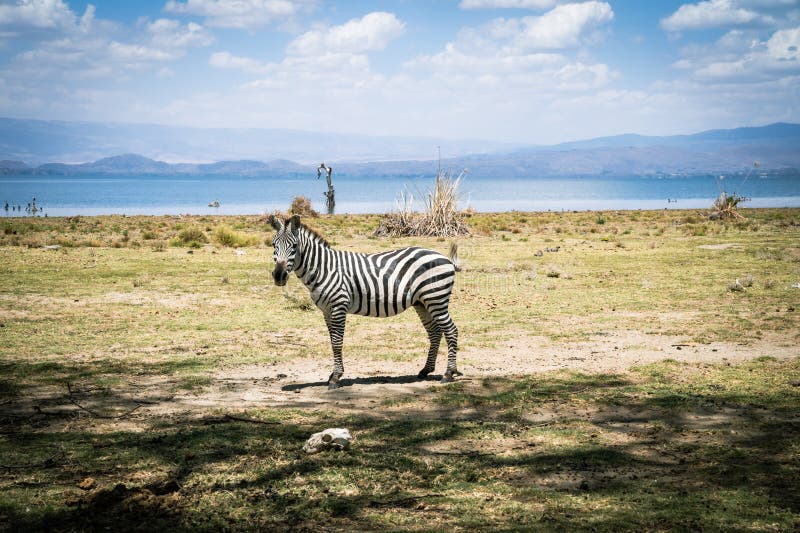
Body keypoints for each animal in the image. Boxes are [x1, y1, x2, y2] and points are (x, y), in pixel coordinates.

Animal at [268, 214, 461, 389]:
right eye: (273, 245)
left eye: (294, 246)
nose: (279, 276)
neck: (324, 269)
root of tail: (445, 258)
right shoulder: (326, 310)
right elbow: (332, 341)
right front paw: (333, 374)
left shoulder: (338, 306)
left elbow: (337, 342)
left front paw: (335, 377)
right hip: (422, 302)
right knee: (435, 332)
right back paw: (426, 370)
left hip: (436, 298)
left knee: (451, 330)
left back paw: (448, 373)